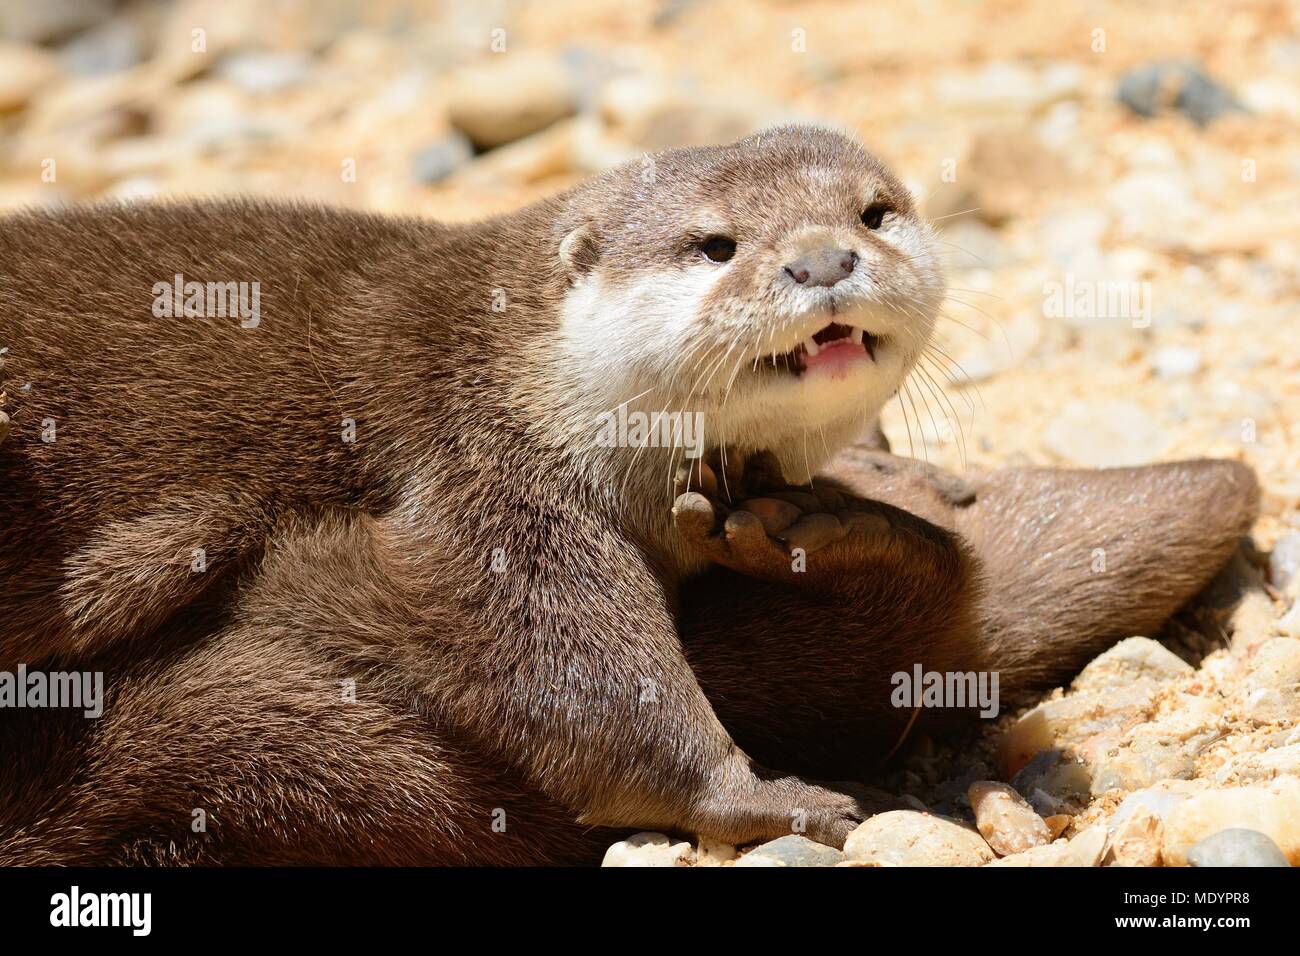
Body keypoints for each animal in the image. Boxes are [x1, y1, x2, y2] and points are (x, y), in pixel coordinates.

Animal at [0, 126, 1257, 864]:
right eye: (715, 244)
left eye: (872, 210)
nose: (819, 261)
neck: (511, 366)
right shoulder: (481, 482)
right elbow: (576, 674)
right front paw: (759, 798)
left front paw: (872, 473)